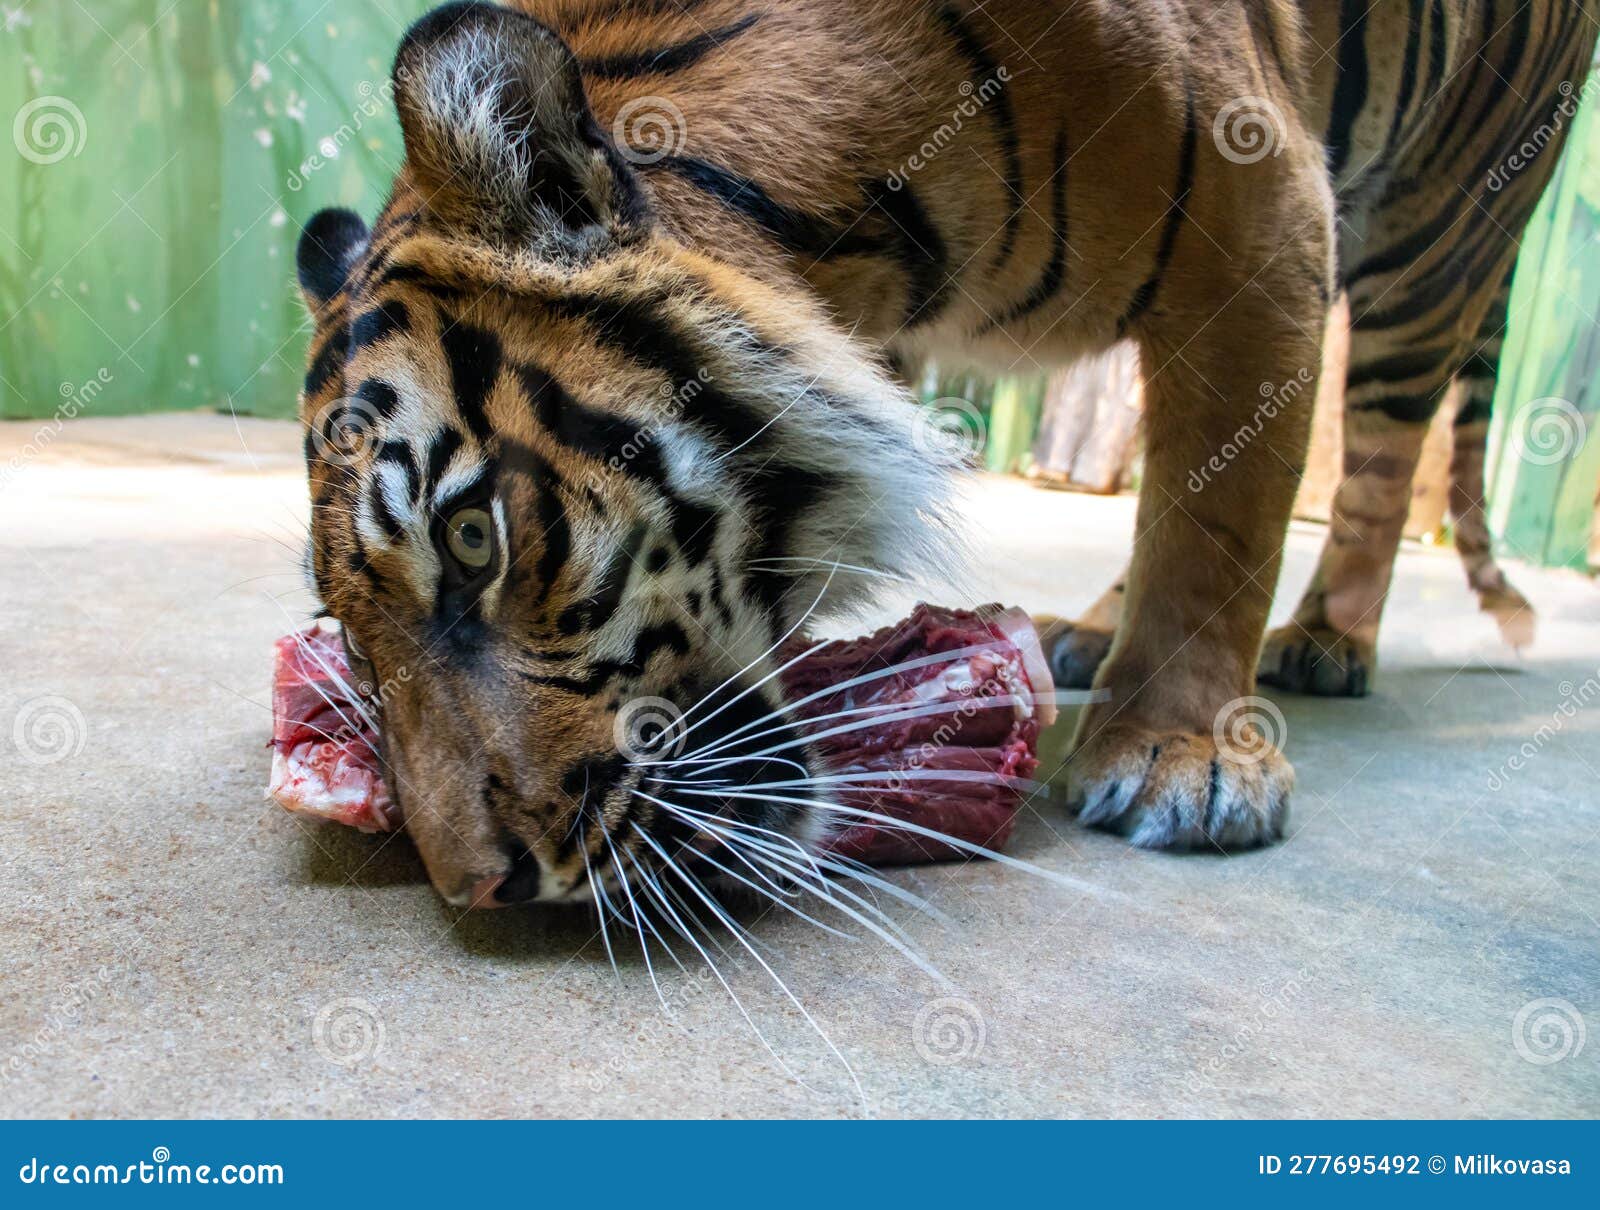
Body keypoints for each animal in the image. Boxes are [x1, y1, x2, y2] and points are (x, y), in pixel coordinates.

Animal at [295, 0, 1598, 904]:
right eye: (347, 640)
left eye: (473, 540)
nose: (477, 886)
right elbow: (1206, 472)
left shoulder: (1265, 207)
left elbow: (1224, 519)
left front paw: (1181, 758)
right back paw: (1091, 634)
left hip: (1440, 242)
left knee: (1376, 452)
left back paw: (1326, 639)